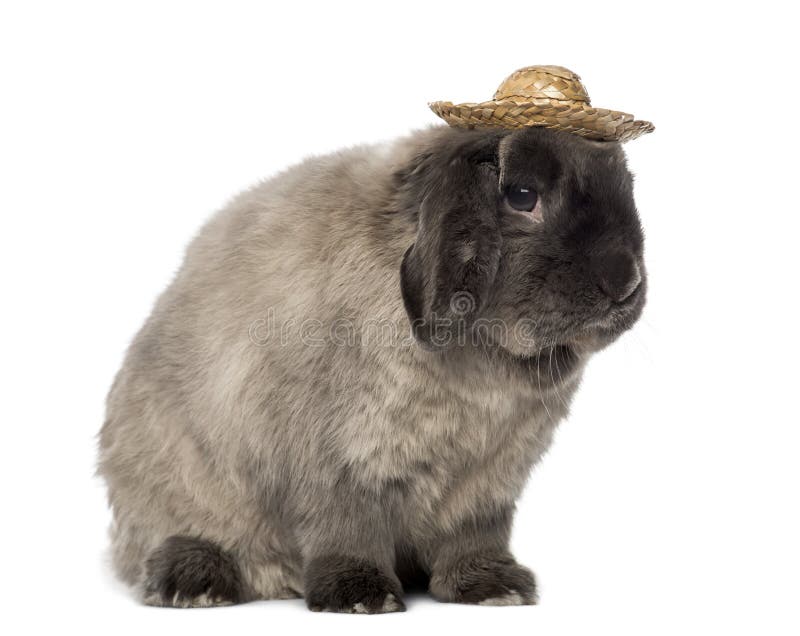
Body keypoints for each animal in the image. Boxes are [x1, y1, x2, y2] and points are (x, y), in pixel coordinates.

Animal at [98, 124, 646, 612]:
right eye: (523, 195)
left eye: (625, 188)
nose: (625, 281)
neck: (481, 366)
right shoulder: (339, 464)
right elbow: (348, 528)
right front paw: (359, 597)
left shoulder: (486, 485)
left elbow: (474, 537)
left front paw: (493, 588)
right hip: (176, 486)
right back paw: (193, 582)